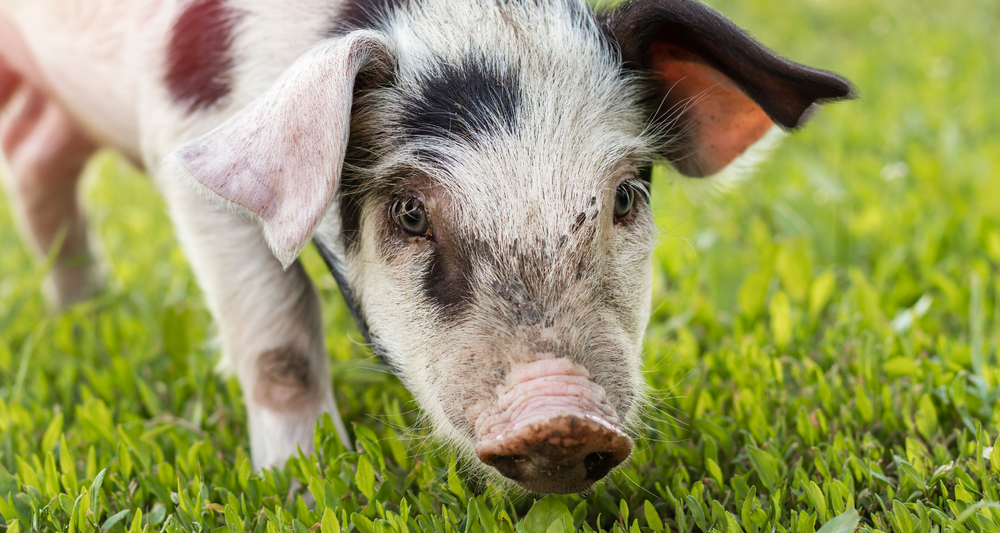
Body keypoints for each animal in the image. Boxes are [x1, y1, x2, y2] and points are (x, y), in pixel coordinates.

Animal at [0, 0, 853, 494]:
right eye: (410, 212)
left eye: (625, 196)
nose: (560, 412)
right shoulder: (192, 143)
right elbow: (279, 346)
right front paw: (303, 484)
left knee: (39, 155)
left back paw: (85, 312)